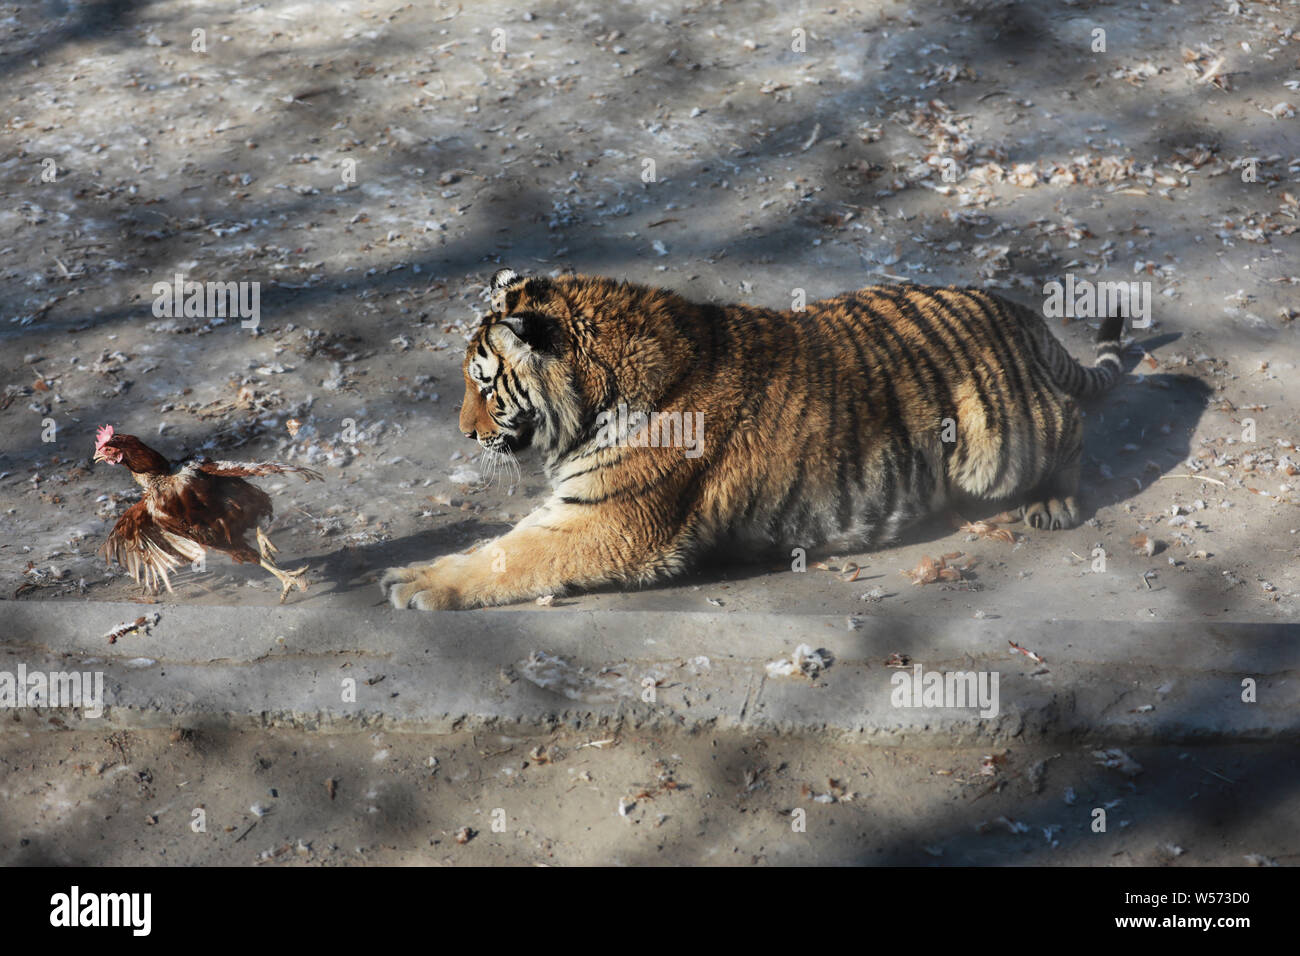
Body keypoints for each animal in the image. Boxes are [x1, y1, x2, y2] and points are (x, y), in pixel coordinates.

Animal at [380, 268, 1124, 610]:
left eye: (484, 385)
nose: (464, 430)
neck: (598, 394)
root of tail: (1011, 306)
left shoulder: (607, 521)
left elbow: (506, 558)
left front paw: (414, 582)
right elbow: (495, 547)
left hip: (998, 449)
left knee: (1076, 423)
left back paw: (1055, 502)